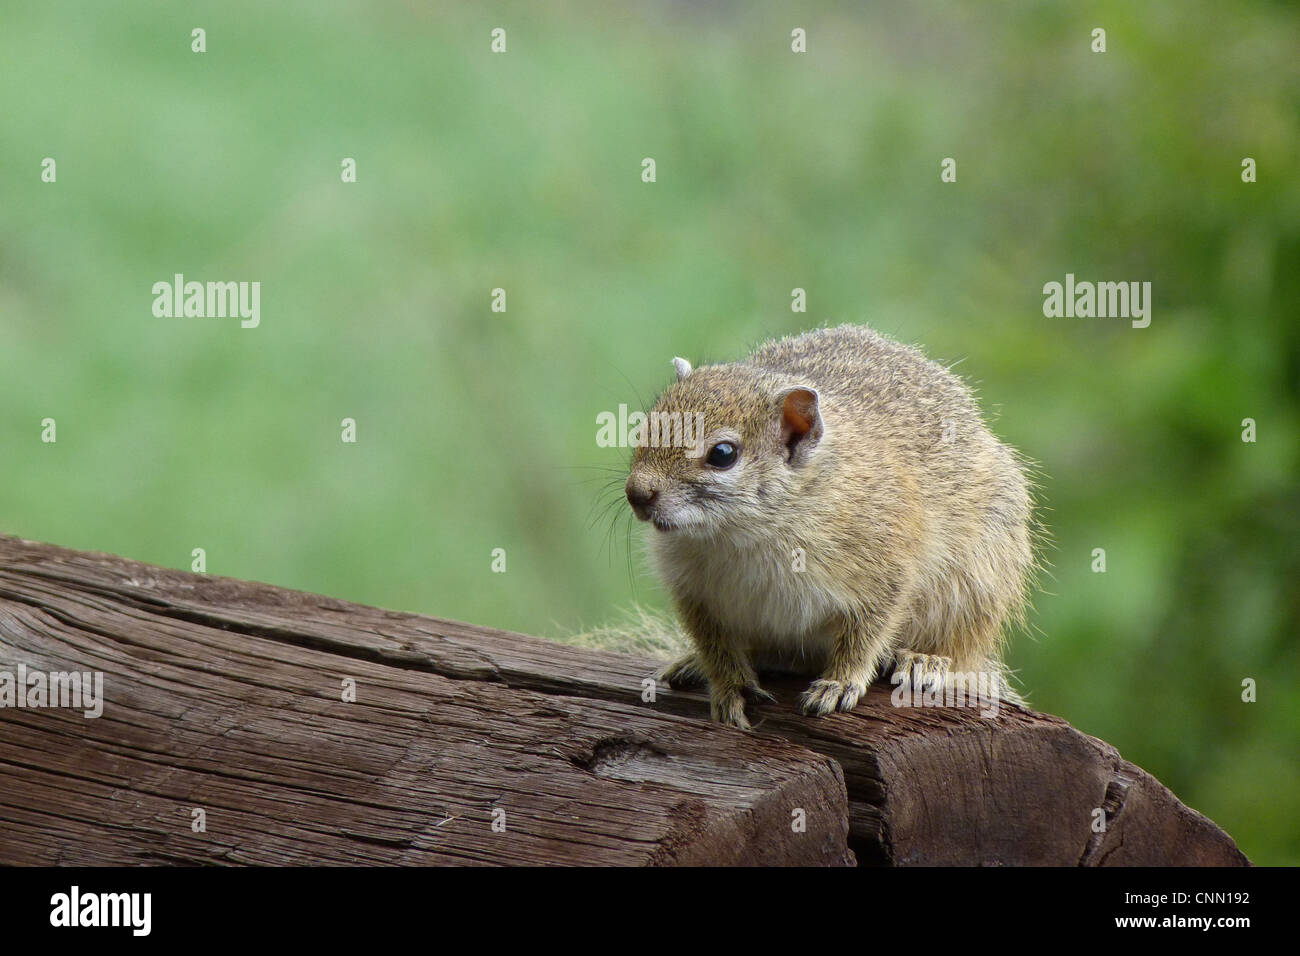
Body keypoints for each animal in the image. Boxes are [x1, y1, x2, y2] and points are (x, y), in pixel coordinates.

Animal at [625, 324, 1037, 729]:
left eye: (723, 454)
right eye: (647, 427)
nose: (636, 493)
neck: (745, 533)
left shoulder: (885, 567)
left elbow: (865, 633)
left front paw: (839, 683)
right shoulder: (696, 595)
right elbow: (716, 645)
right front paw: (730, 686)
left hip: (973, 588)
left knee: (960, 650)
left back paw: (923, 659)